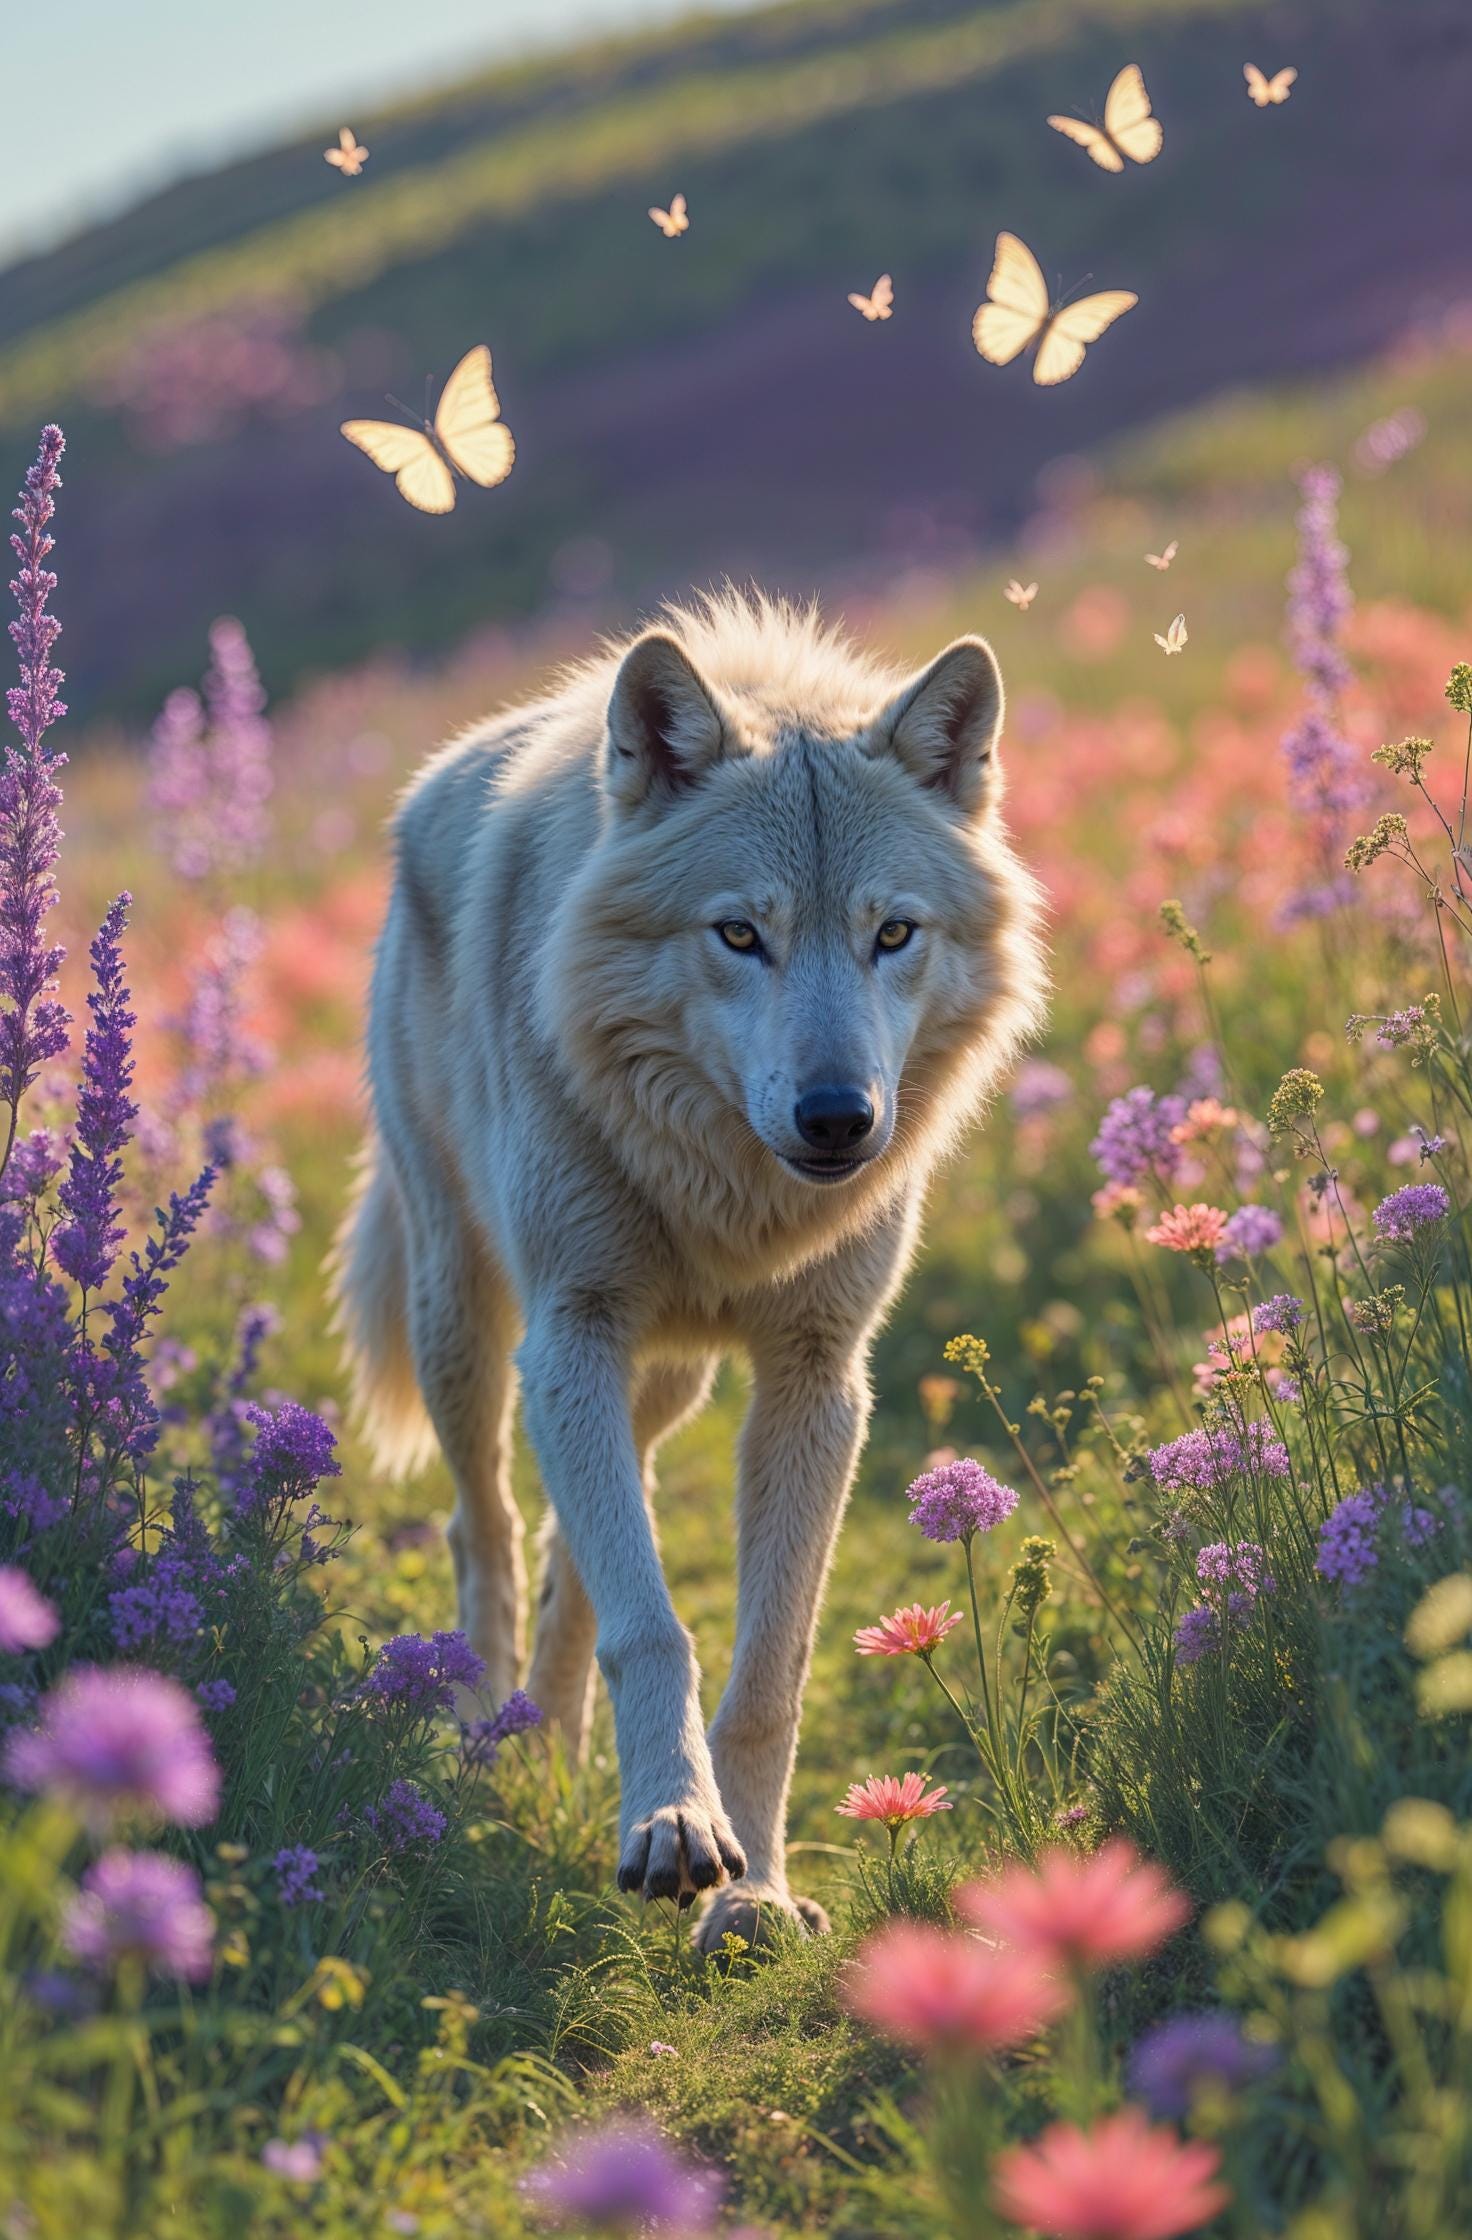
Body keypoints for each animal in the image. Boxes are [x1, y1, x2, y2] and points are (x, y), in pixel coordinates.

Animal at [333, 593, 1046, 1950]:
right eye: (737, 934)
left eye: (891, 934)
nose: (836, 1118)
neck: (729, 1198)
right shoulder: (572, 1331)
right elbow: (653, 1624)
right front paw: (672, 1823)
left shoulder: (815, 1382)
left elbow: (766, 1666)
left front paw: (753, 1889)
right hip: (472, 1330)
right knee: (488, 1527)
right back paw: (485, 1743)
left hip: (659, 1384)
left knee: (578, 1557)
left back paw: (547, 1748)